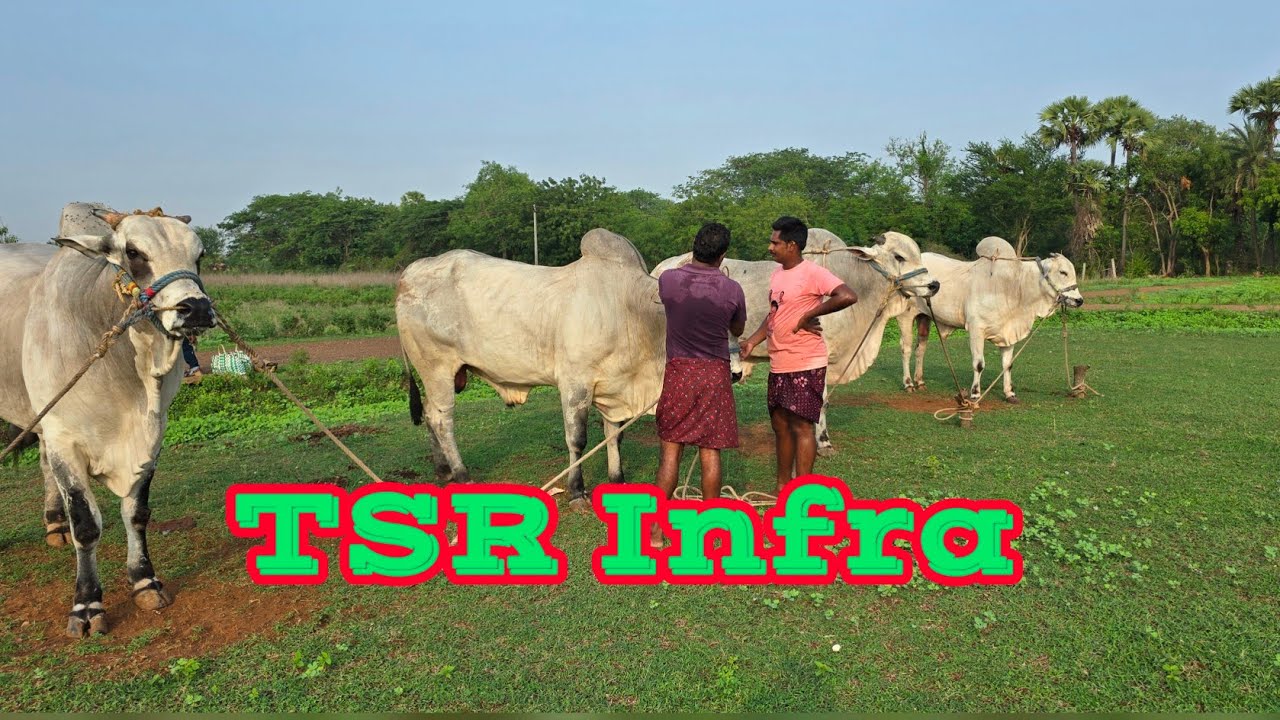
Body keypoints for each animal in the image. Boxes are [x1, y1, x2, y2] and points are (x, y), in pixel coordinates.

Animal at [0, 202, 213, 637]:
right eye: (133, 252)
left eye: (199, 255)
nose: (197, 309)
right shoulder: (64, 436)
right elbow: (86, 524)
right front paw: (86, 605)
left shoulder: (153, 435)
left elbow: (136, 513)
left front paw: (145, 581)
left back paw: (54, 524)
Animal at [397, 229, 666, 510]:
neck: (632, 310)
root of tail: (410, 272)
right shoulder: (575, 383)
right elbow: (577, 439)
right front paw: (577, 491)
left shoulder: (613, 386)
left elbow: (614, 435)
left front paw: (617, 479)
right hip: (437, 368)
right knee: (442, 419)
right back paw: (461, 474)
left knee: (429, 412)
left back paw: (443, 470)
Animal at [894, 236, 1085, 403]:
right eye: (1063, 272)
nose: (1079, 300)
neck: (1015, 286)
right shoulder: (976, 330)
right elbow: (979, 364)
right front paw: (975, 394)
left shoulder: (1009, 332)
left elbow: (1008, 365)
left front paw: (1010, 394)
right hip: (906, 316)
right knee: (906, 348)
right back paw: (909, 383)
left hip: (924, 317)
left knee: (921, 348)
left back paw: (920, 382)